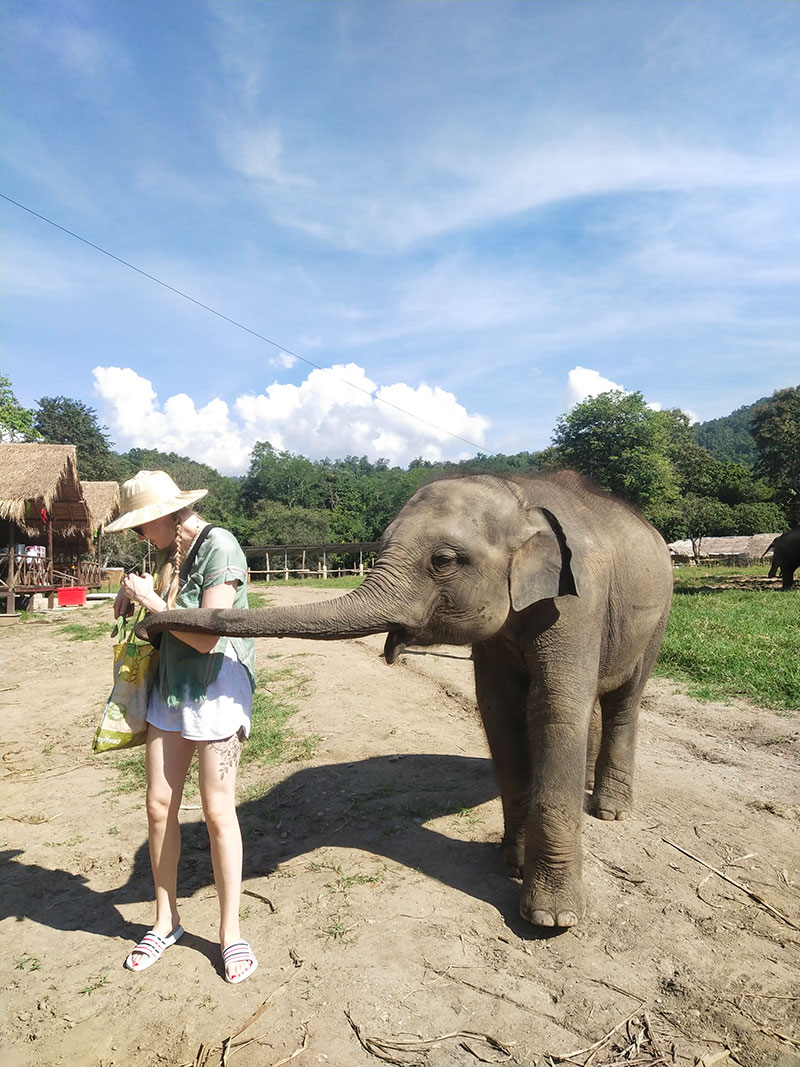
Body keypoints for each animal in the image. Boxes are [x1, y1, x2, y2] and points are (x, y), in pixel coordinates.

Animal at [138, 471, 673, 929]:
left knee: (625, 700)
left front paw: (551, 919)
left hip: (657, 613)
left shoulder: (578, 603)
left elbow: (555, 711)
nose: (146, 625)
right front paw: (512, 864)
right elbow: (499, 715)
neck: (520, 496)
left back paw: (609, 810)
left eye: (444, 560)